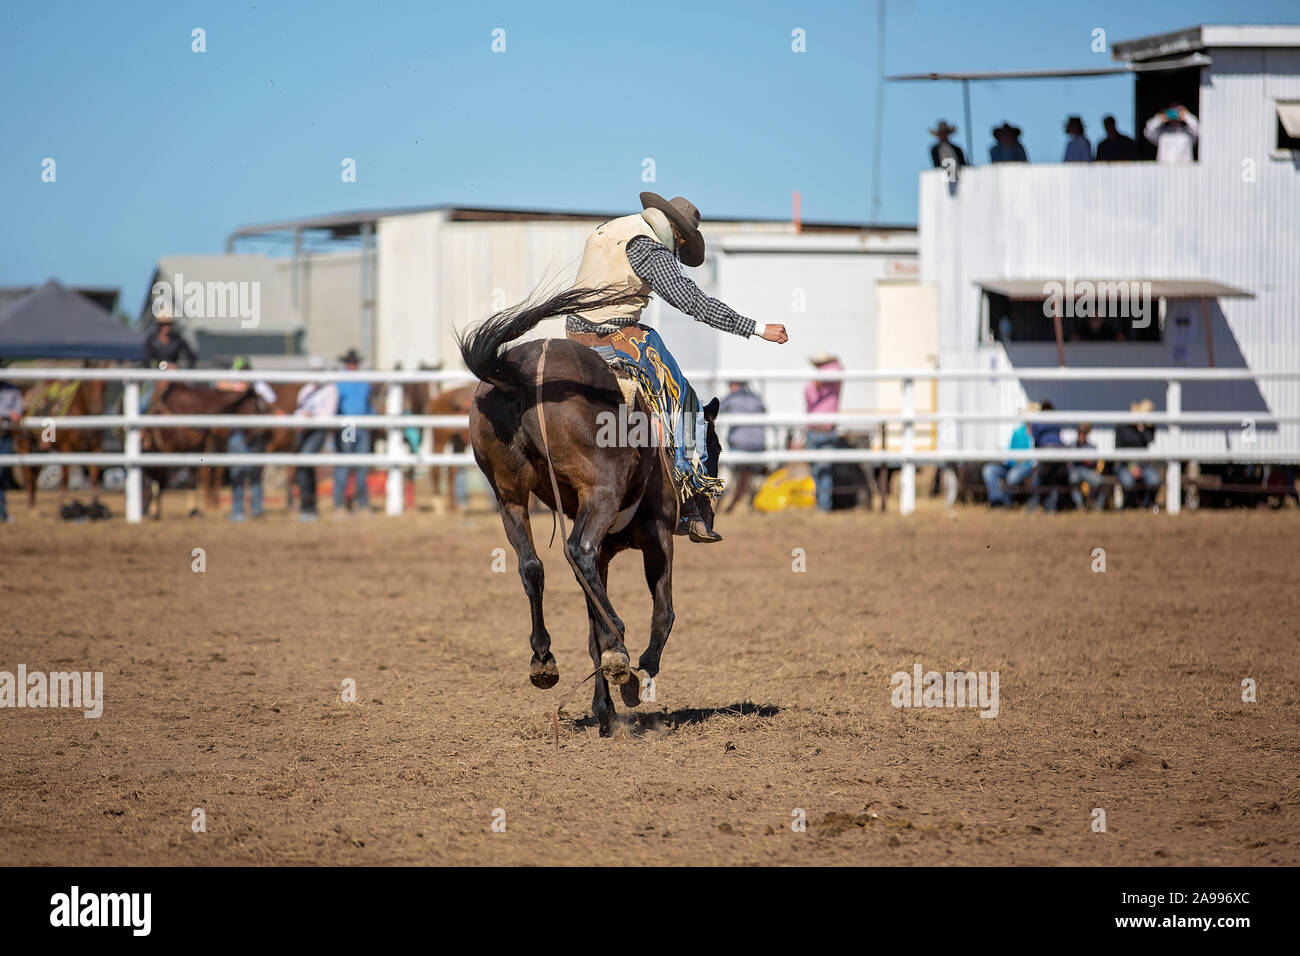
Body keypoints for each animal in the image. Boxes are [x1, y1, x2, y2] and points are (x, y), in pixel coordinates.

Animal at [458, 286, 720, 738]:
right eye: (716, 449)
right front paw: (638, 671)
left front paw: (606, 710)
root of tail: (520, 374)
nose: (707, 515)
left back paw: (544, 659)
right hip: (600, 492)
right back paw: (619, 648)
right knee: (575, 551)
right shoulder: (657, 536)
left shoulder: (606, 554)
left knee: (532, 566)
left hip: (509, 497)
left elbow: (591, 626)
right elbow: (663, 611)